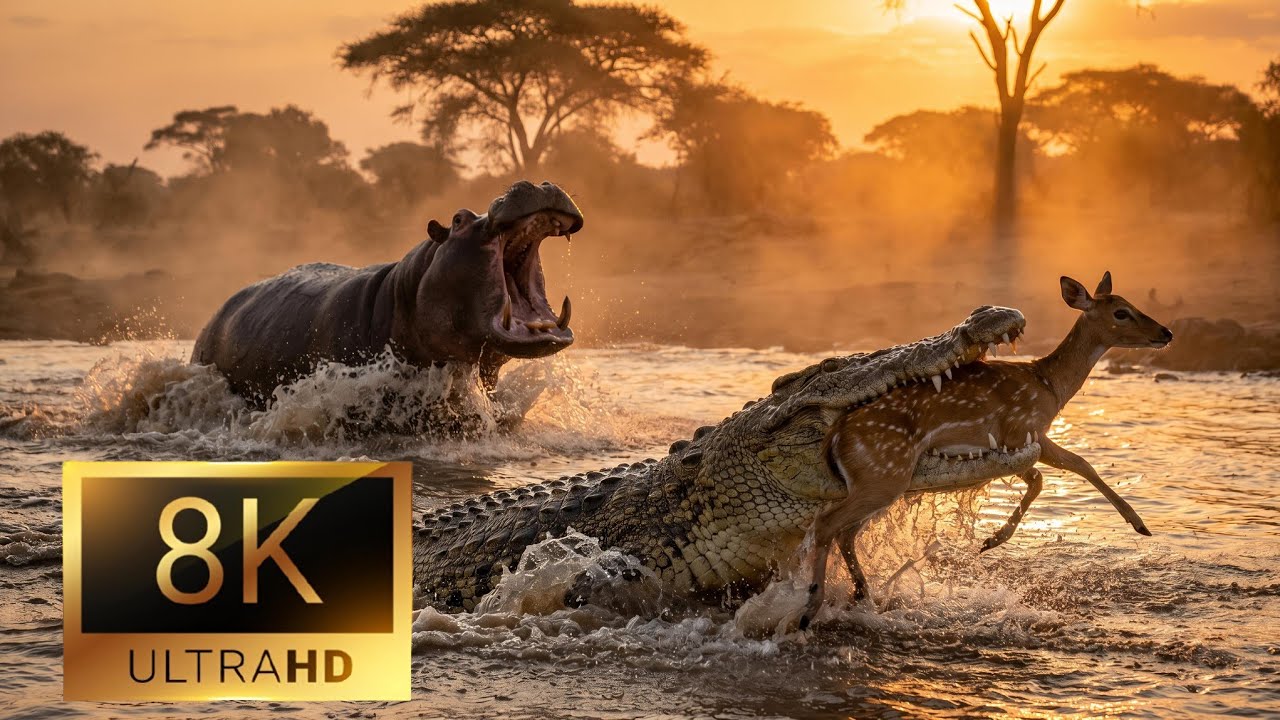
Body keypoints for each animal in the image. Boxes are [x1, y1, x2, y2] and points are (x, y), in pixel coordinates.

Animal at [798, 272, 1173, 628]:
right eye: (1121, 312)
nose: (1166, 332)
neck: (1051, 387)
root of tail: (836, 436)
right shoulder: (1022, 428)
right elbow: (1075, 466)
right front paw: (1139, 523)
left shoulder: (1019, 441)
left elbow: (1052, 474)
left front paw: (992, 539)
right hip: (884, 472)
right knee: (828, 523)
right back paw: (810, 608)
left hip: (882, 480)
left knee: (845, 531)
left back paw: (860, 596)